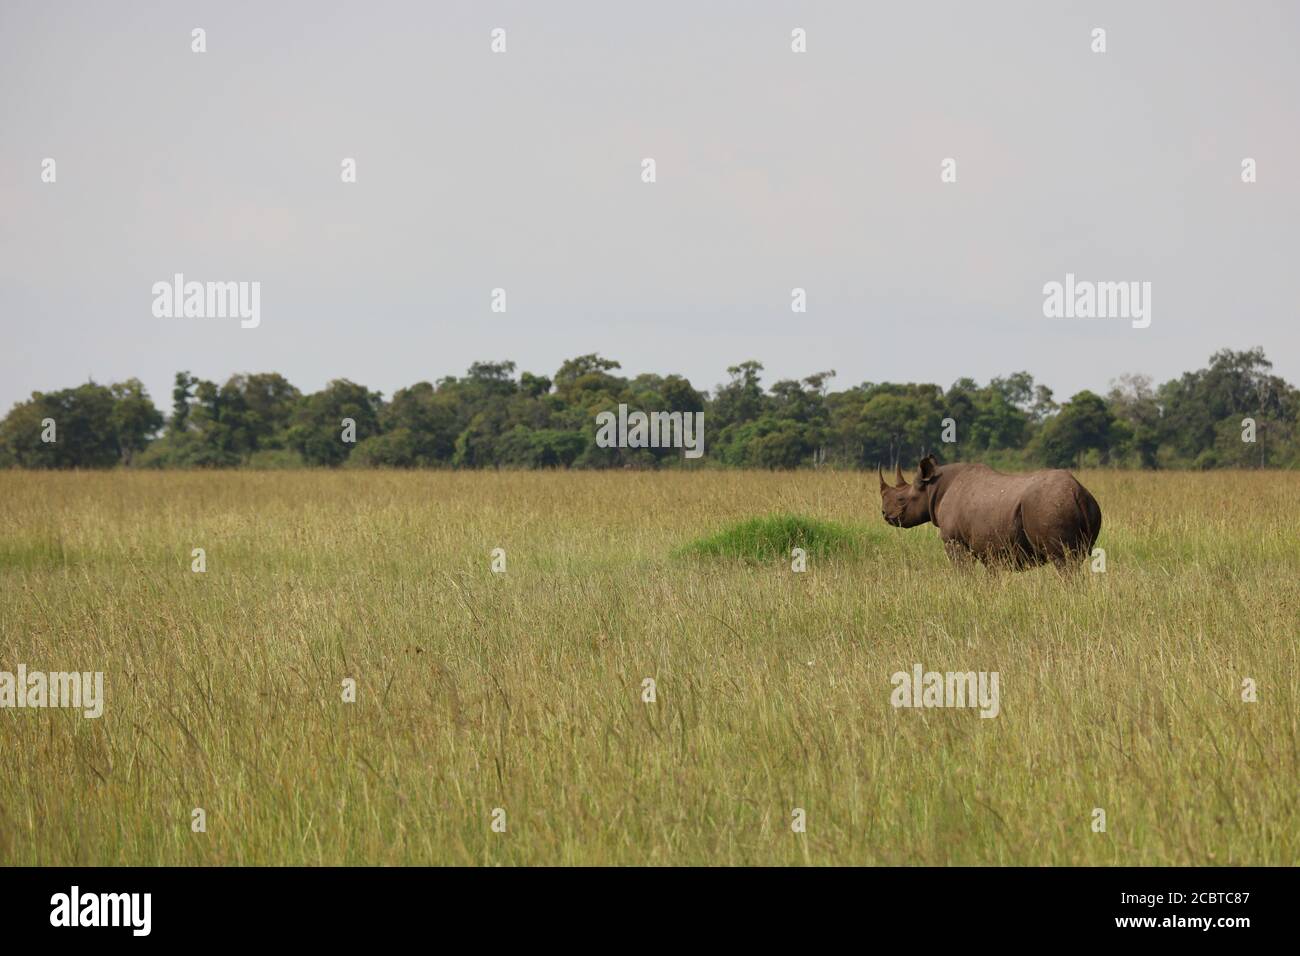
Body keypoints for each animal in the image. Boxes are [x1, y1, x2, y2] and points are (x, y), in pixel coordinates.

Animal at [879, 455, 1102, 569]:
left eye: (901, 500)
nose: (884, 514)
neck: (932, 487)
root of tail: (1077, 491)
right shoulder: (989, 547)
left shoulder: (954, 541)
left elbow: (963, 570)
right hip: (1088, 505)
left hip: (1049, 504)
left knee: (1064, 561)